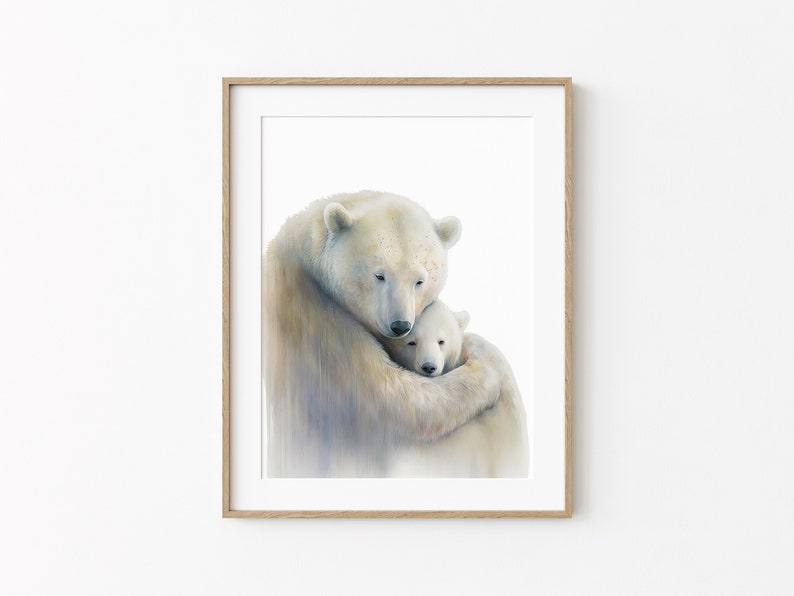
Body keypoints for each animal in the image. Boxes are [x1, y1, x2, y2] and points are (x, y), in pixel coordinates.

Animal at [263, 190, 511, 477]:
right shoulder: (318, 326)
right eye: (379, 275)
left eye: (419, 280)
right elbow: (394, 403)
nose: (400, 325)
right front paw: (487, 371)